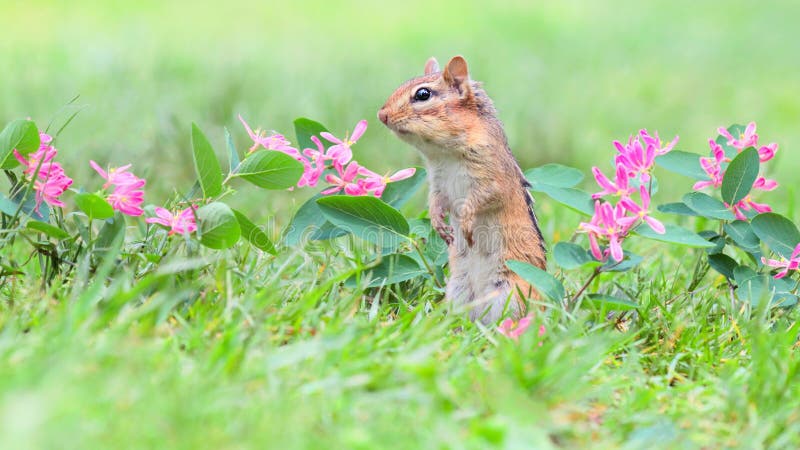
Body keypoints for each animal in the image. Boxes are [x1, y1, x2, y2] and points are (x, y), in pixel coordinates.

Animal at [378, 55, 546, 324]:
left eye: (423, 94)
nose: (381, 114)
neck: (445, 154)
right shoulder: (438, 183)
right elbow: (436, 201)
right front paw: (438, 223)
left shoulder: (493, 180)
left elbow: (482, 198)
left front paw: (466, 221)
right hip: (457, 288)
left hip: (510, 291)